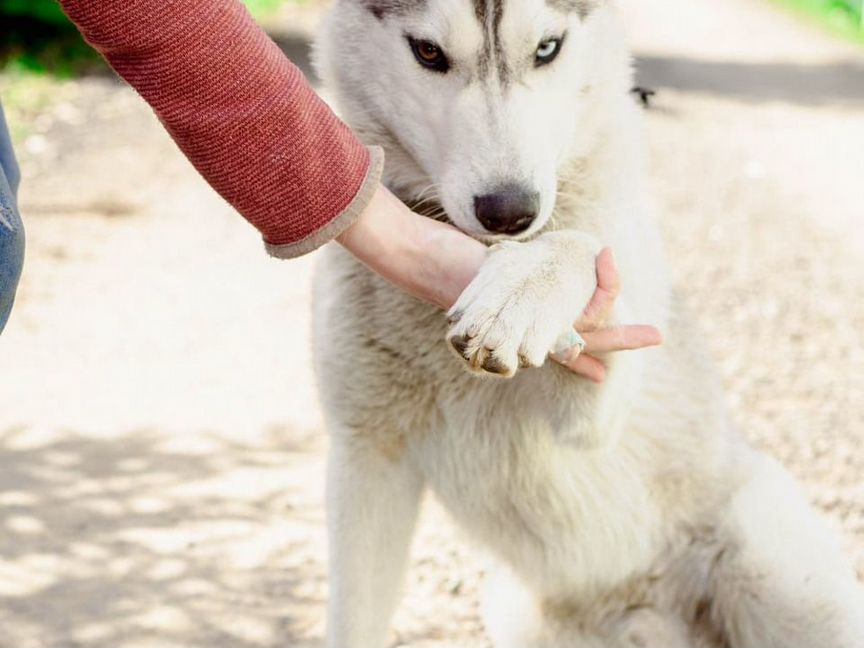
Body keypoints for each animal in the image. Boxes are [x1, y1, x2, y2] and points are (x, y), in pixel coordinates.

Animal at [310, 0, 864, 644]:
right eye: (428, 52)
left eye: (547, 48)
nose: (510, 212)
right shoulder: (367, 456)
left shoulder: (594, 415)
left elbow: (579, 248)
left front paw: (526, 286)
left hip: (772, 561)